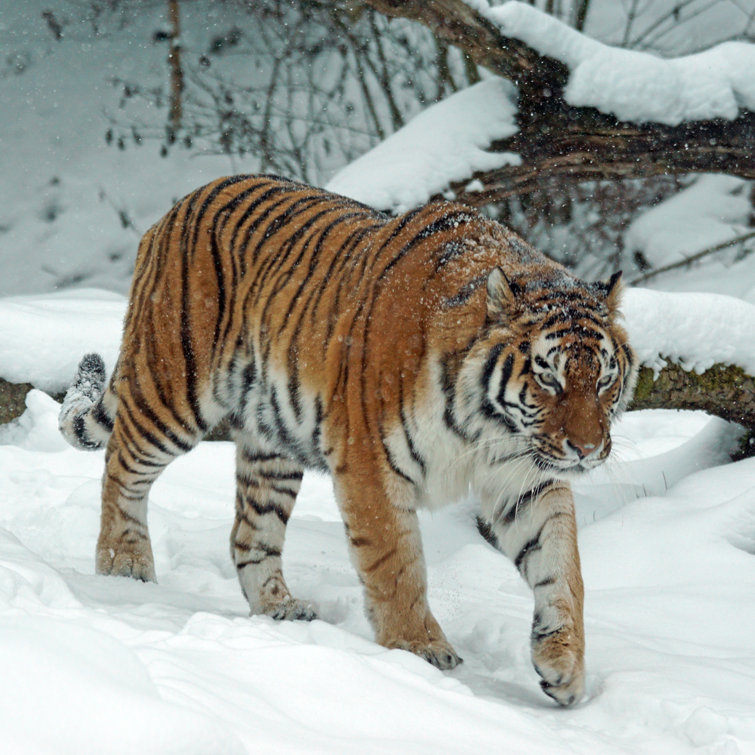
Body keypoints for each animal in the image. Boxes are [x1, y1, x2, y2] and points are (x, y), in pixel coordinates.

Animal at [59, 174, 637, 706]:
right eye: (548, 378)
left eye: (604, 380)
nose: (587, 450)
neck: (488, 427)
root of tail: (179, 205)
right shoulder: (370, 463)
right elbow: (397, 564)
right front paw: (419, 650)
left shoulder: (525, 477)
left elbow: (562, 566)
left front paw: (564, 664)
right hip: (173, 388)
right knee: (121, 467)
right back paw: (123, 567)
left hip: (271, 443)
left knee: (249, 533)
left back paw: (280, 609)